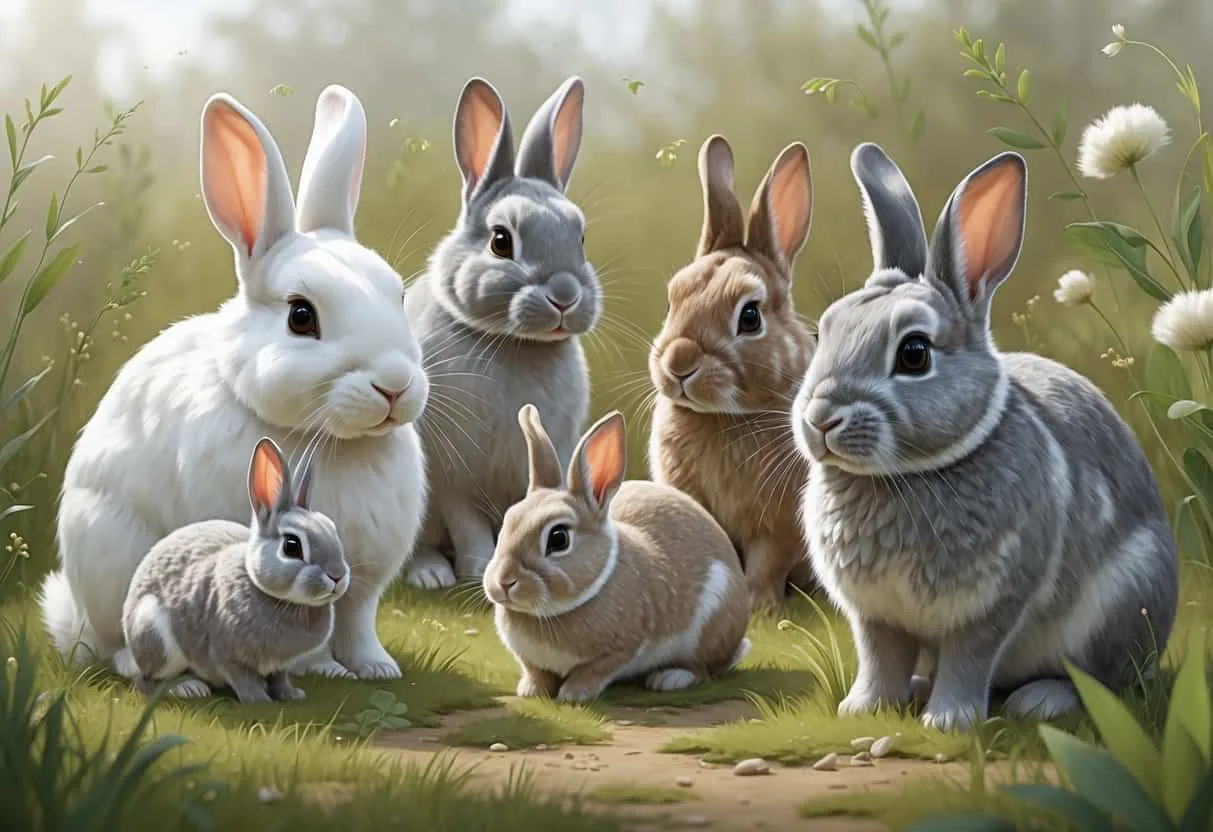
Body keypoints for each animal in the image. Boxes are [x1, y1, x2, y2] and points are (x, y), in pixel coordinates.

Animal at [119, 437, 349, 703]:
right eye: (292, 546)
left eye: (332, 529)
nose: (337, 576)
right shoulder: (225, 653)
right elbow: (242, 678)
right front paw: (259, 700)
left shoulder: (279, 664)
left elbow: (279, 678)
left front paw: (291, 695)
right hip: (156, 636)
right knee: (146, 680)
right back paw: (188, 688)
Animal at [403, 76, 601, 591]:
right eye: (500, 241)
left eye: (580, 239)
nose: (565, 295)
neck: (513, 344)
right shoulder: (451, 478)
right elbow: (467, 523)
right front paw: (477, 569)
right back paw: (430, 574)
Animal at [483, 404, 752, 702]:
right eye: (509, 521)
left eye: (558, 538)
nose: (504, 582)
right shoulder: (531, 660)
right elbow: (536, 671)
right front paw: (531, 691)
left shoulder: (623, 648)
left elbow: (594, 671)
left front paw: (574, 694)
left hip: (711, 627)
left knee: (704, 668)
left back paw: (669, 678)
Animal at [648, 135, 818, 614]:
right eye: (672, 301)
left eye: (750, 316)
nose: (678, 364)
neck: (725, 419)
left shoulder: (780, 525)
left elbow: (766, 563)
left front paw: (761, 608)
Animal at [792, 142, 1179, 732]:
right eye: (822, 333)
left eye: (914, 353)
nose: (820, 418)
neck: (906, 476)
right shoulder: (875, 615)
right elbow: (880, 658)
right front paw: (864, 709)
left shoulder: (991, 607)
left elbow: (969, 657)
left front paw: (949, 720)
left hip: (1120, 610)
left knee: (1105, 682)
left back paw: (1039, 701)